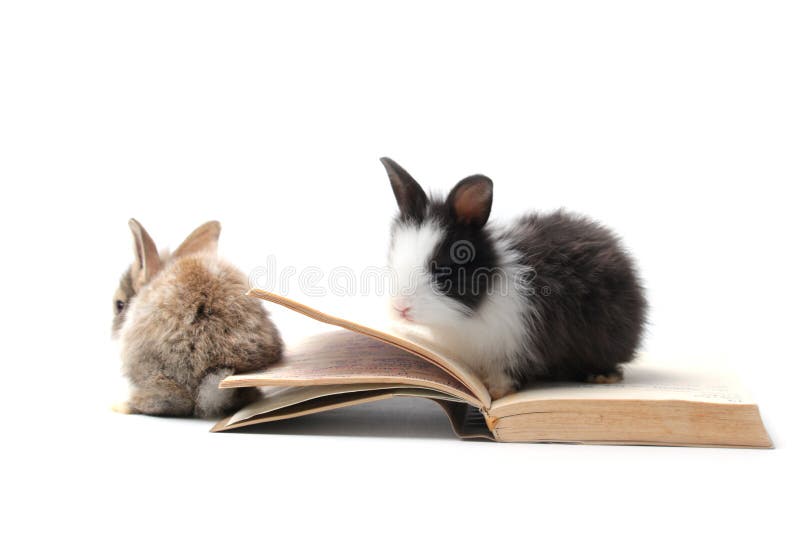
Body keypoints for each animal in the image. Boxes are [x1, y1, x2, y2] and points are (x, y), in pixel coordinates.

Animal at [380, 158, 647, 400]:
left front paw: (495, 392)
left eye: (443, 270)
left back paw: (603, 376)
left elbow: (507, 372)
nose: (400, 308)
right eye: (392, 258)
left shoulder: (519, 342)